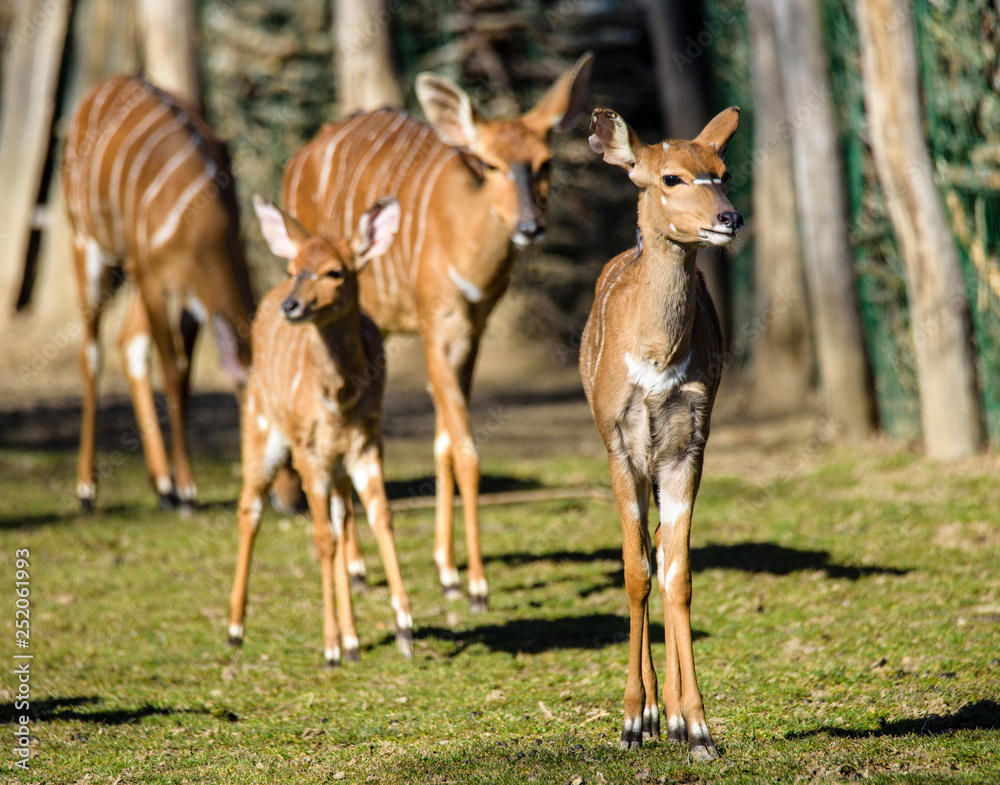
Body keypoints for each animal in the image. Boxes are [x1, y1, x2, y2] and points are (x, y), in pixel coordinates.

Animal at [61, 75, 254, 513]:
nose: (296, 499)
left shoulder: (189, 293)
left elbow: (182, 374)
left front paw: (177, 486)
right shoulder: (153, 277)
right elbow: (170, 370)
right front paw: (186, 491)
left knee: (128, 340)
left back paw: (161, 483)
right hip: (89, 246)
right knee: (92, 353)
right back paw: (86, 490)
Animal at [228, 195, 413, 665]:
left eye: (335, 272)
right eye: (293, 269)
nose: (291, 306)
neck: (338, 402)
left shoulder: (366, 444)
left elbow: (381, 516)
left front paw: (404, 628)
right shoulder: (307, 451)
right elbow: (322, 539)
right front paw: (329, 645)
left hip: (336, 467)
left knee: (343, 518)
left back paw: (353, 641)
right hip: (261, 429)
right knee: (250, 508)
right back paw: (235, 631)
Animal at [283, 53, 593, 611]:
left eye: (545, 162)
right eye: (489, 164)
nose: (530, 226)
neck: (463, 238)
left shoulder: (472, 331)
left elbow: (445, 442)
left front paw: (448, 571)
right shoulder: (436, 328)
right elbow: (467, 450)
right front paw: (477, 587)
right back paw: (356, 569)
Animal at [579, 107, 742, 758]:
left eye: (724, 170)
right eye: (671, 177)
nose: (729, 218)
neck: (655, 356)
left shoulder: (687, 448)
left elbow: (679, 576)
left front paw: (696, 728)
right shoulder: (619, 447)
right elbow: (633, 573)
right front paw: (630, 721)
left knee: (664, 557)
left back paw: (669, 717)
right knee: (643, 558)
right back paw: (649, 716)